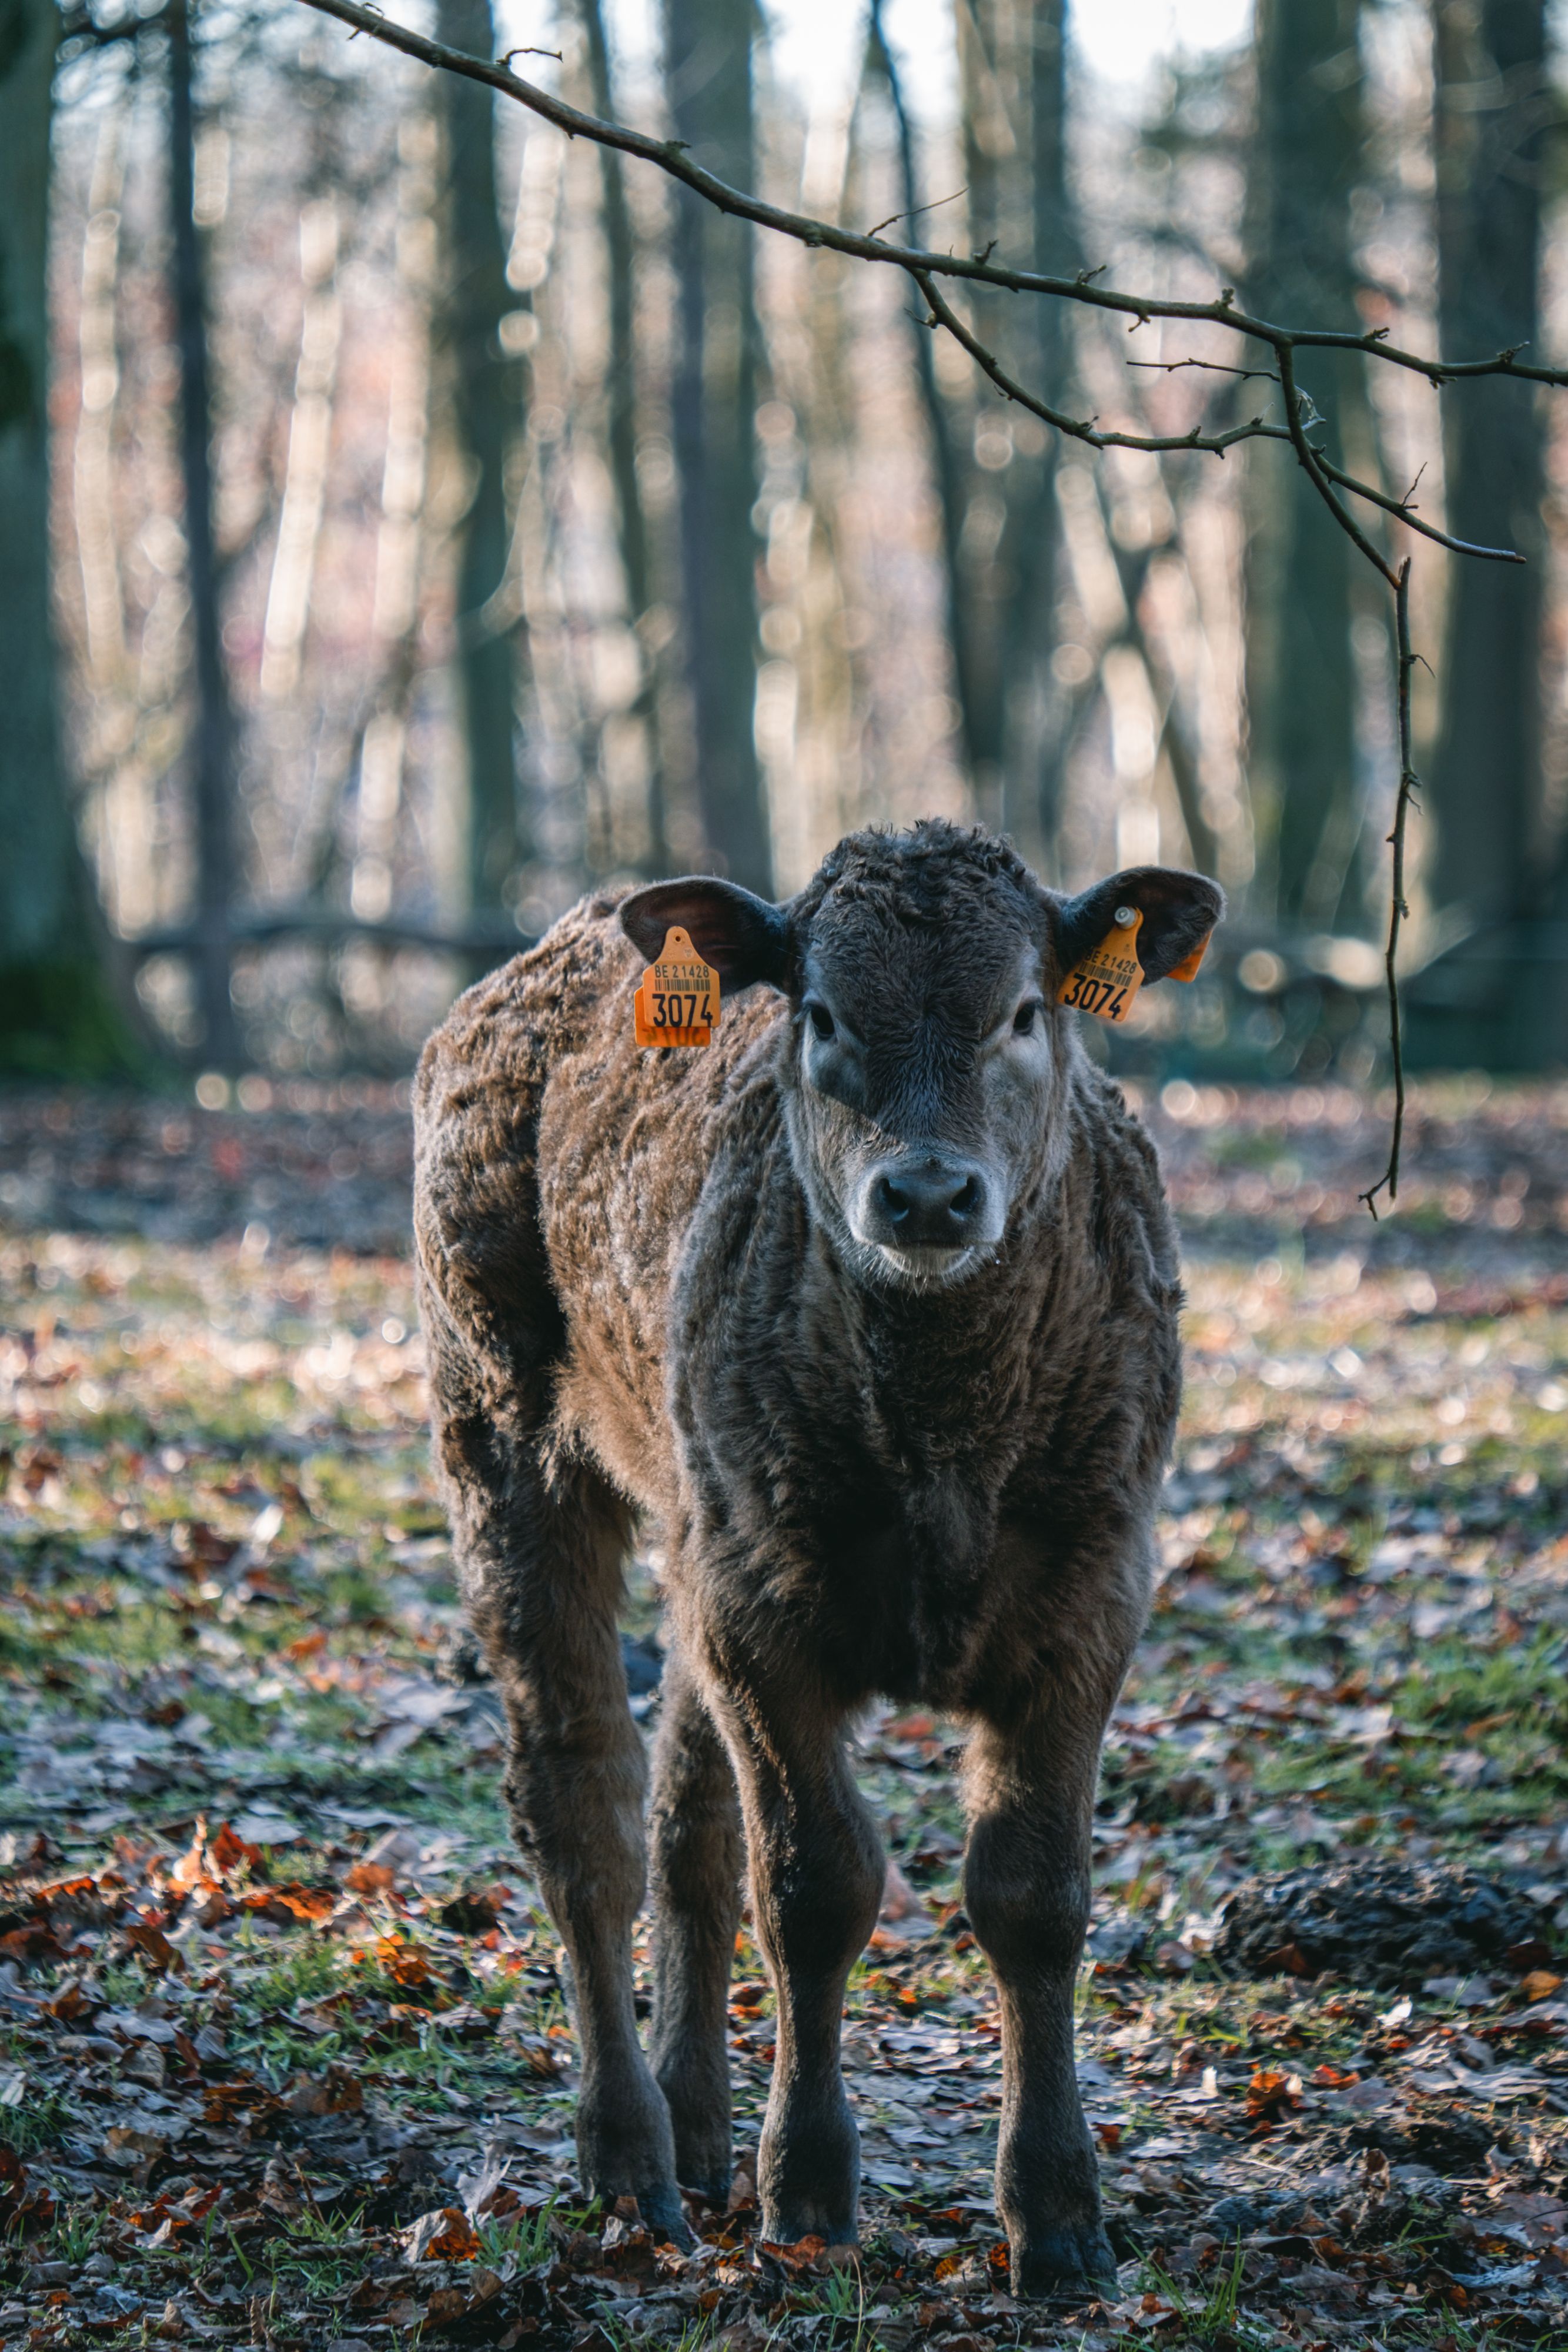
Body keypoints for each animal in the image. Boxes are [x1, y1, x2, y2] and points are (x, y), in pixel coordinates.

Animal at [411, 819, 1221, 2296]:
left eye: (1024, 1010)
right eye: (827, 1013)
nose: (927, 1191)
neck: (945, 1433)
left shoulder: (1090, 1593)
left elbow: (1031, 1891)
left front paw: (1058, 2214)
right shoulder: (764, 1616)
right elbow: (816, 1884)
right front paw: (808, 2192)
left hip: (692, 1523)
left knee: (685, 1819)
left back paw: (694, 2125)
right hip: (503, 1440)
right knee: (584, 1808)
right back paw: (631, 2158)